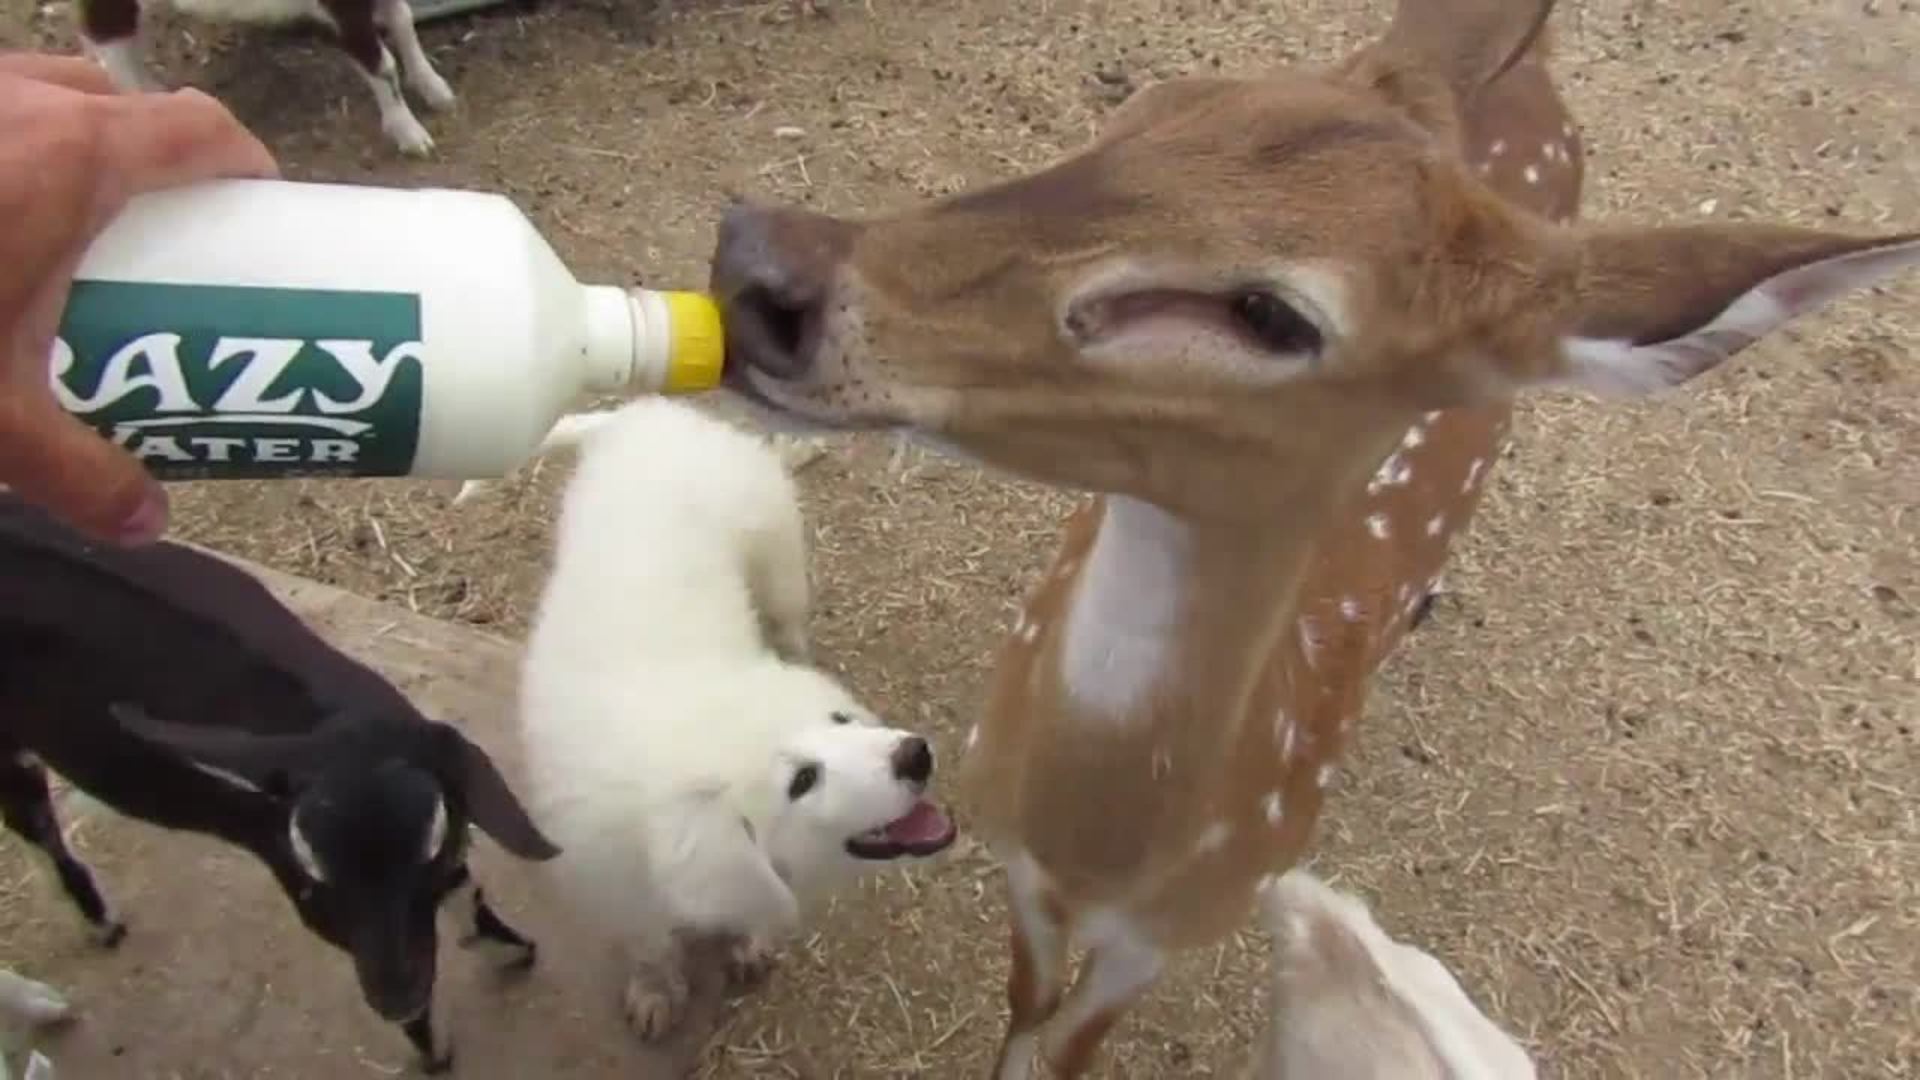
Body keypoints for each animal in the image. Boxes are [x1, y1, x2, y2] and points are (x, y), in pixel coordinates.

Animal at [705, 0, 1920, 1074]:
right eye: (1144, 107)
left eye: (1273, 313)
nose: (760, 261)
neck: (1107, 849)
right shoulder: (1013, 860)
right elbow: (1023, 1005)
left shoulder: (1196, 920)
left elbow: (1078, 1045)